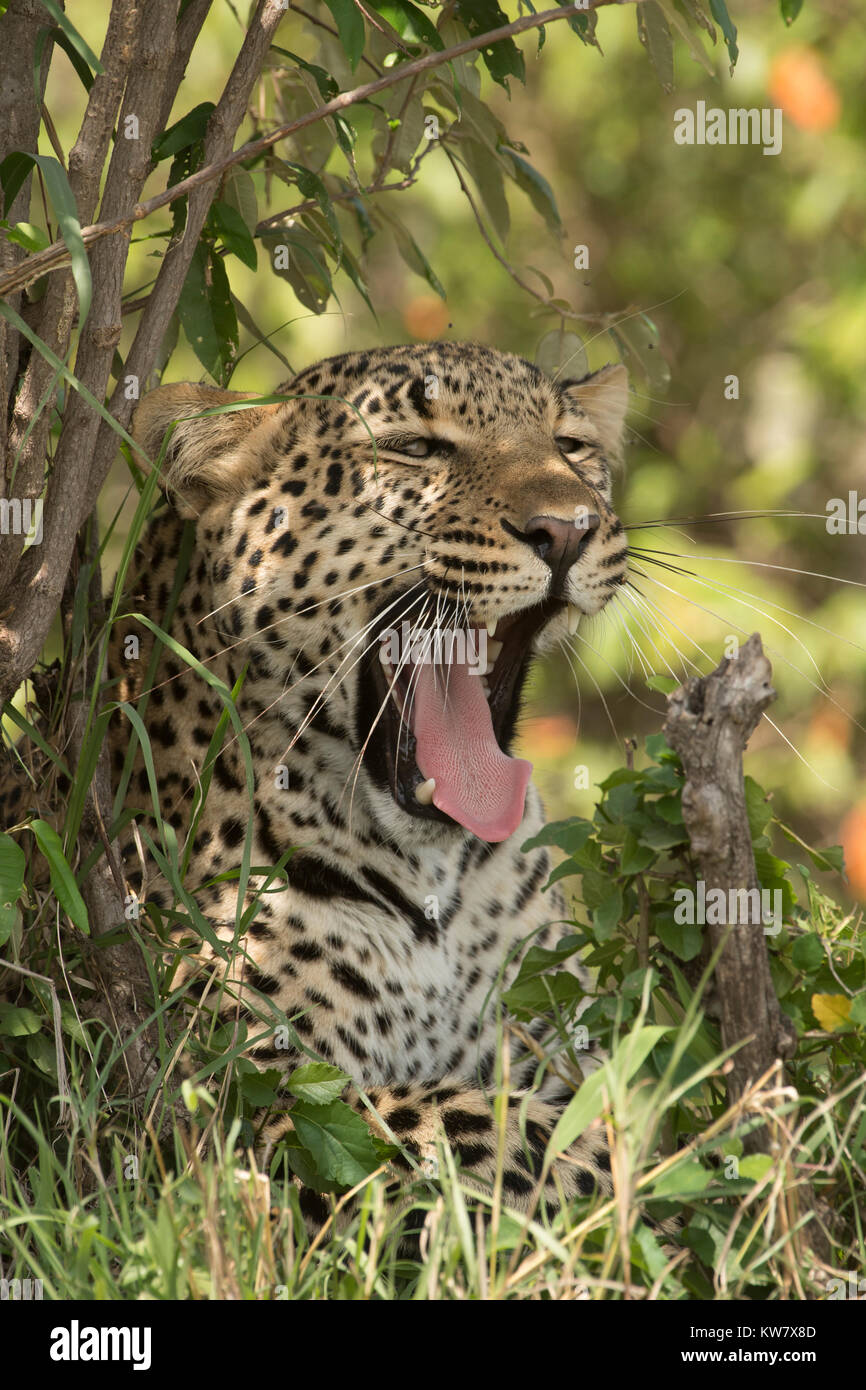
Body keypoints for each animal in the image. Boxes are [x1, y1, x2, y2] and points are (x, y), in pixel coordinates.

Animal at [109, 339, 635, 1234]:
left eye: (571, 448)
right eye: (416, 448)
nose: (568, 529)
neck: (436, 887)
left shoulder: (549, 1029)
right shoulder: (240, 1087)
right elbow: (479, 1123)